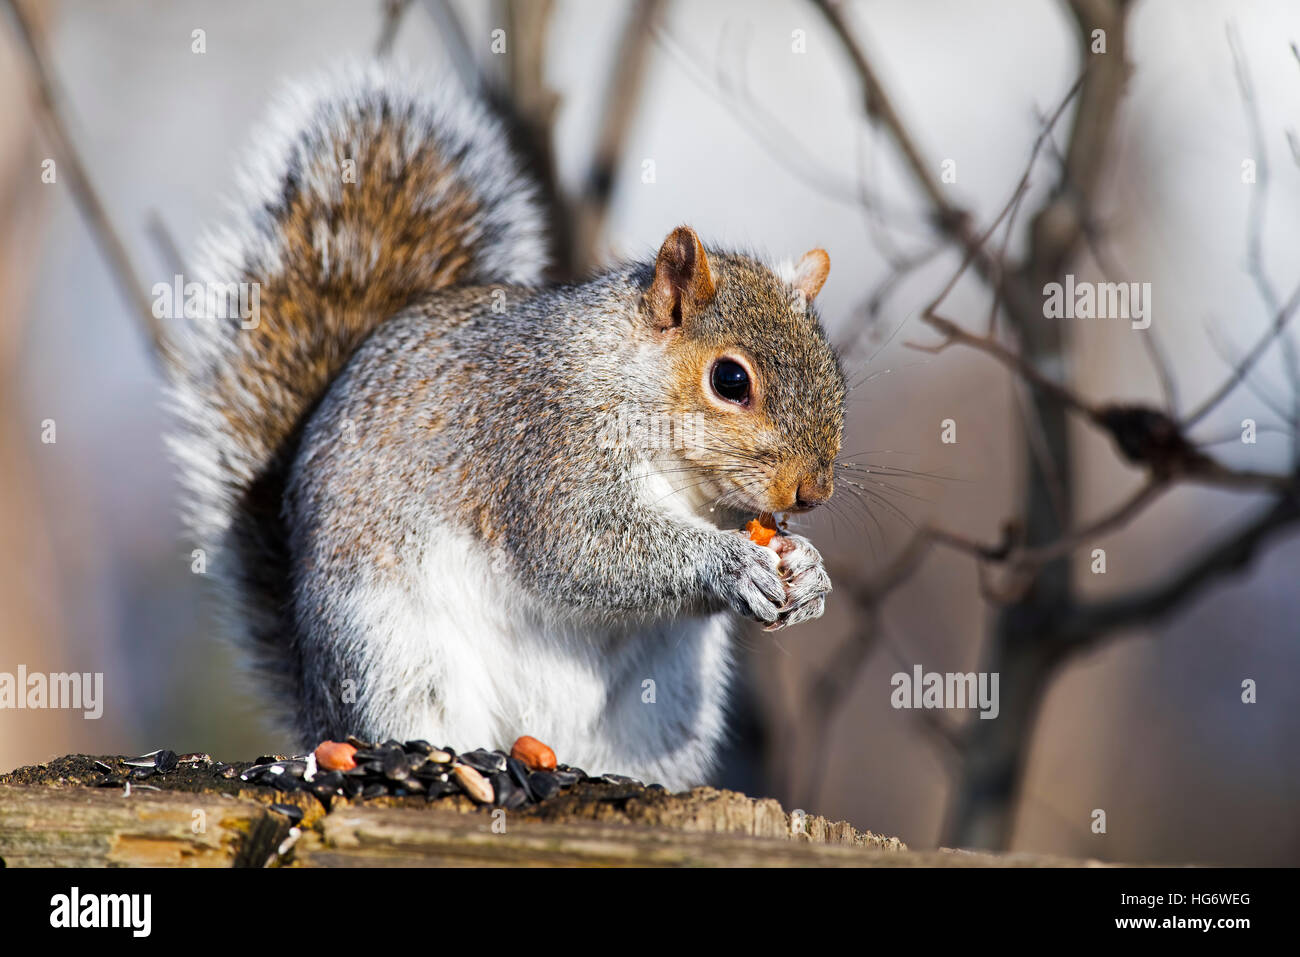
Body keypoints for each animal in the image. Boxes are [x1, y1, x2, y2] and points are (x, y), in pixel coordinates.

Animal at [165, 63, 845, 790]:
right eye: (730, 381)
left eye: (835, 372)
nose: (813, 493)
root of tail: (319, 712)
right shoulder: (542, 447)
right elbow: (578, 549)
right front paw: (731, 563)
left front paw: (809, 574)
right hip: (393, 655)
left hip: (662, 709)